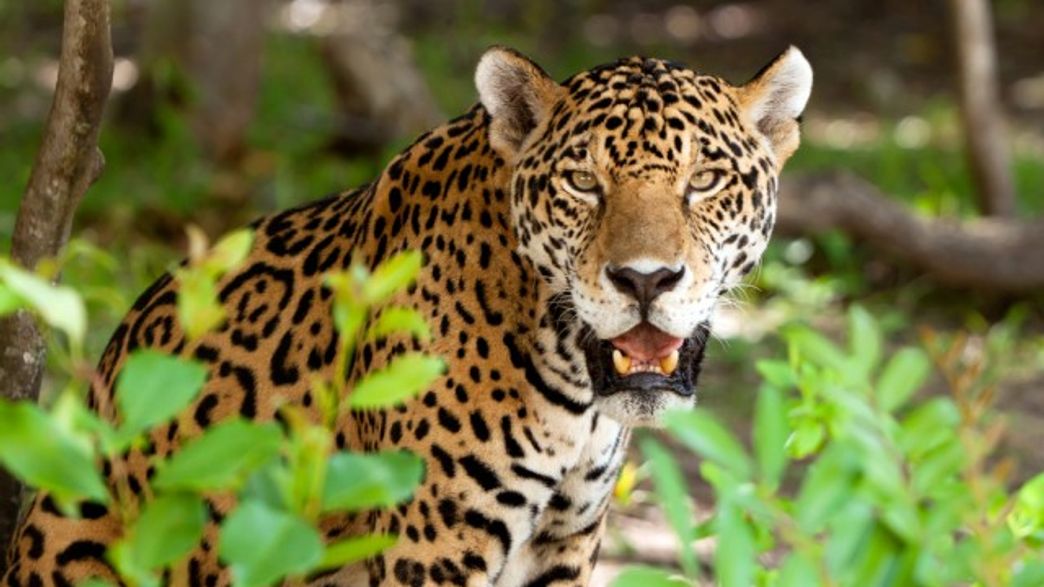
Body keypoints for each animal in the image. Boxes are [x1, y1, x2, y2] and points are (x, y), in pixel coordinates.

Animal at [4, 45, 812, 587]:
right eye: (583, 183)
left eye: (704, 181)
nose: (645, 279)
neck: (572, 390)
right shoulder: (433, 548)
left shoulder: (568, 543)